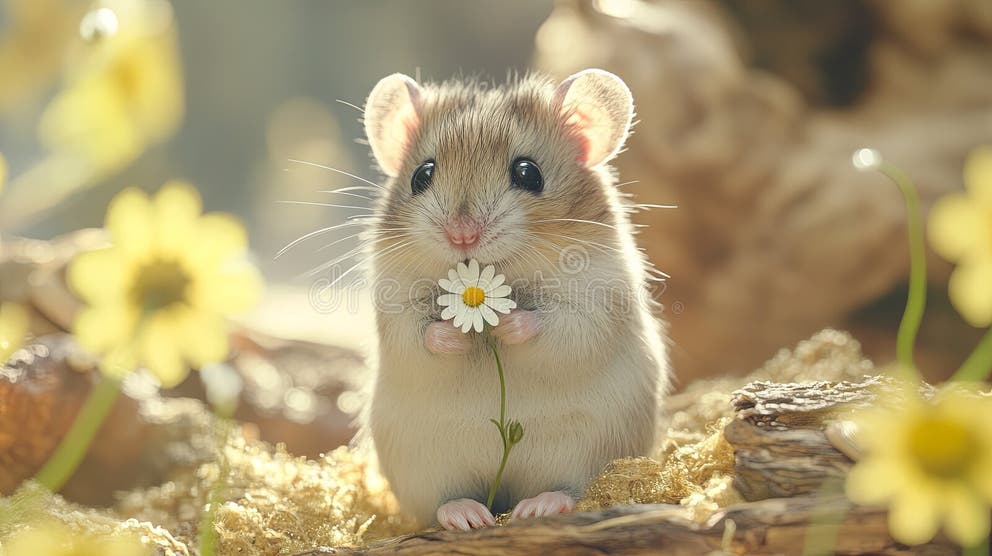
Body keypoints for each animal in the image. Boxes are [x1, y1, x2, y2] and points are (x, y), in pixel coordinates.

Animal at [360, 69, 669, 531]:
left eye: (529, 173)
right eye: (421, 175)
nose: (462, 235)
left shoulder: (596, 300)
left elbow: (557, 328)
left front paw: (506, 325)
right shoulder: (394, 303)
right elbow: (419, 335)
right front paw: (459, 336)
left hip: (586, 453)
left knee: (570, 490)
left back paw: (538, 506)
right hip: (424, 467)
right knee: (441, 502)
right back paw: (468, 516)